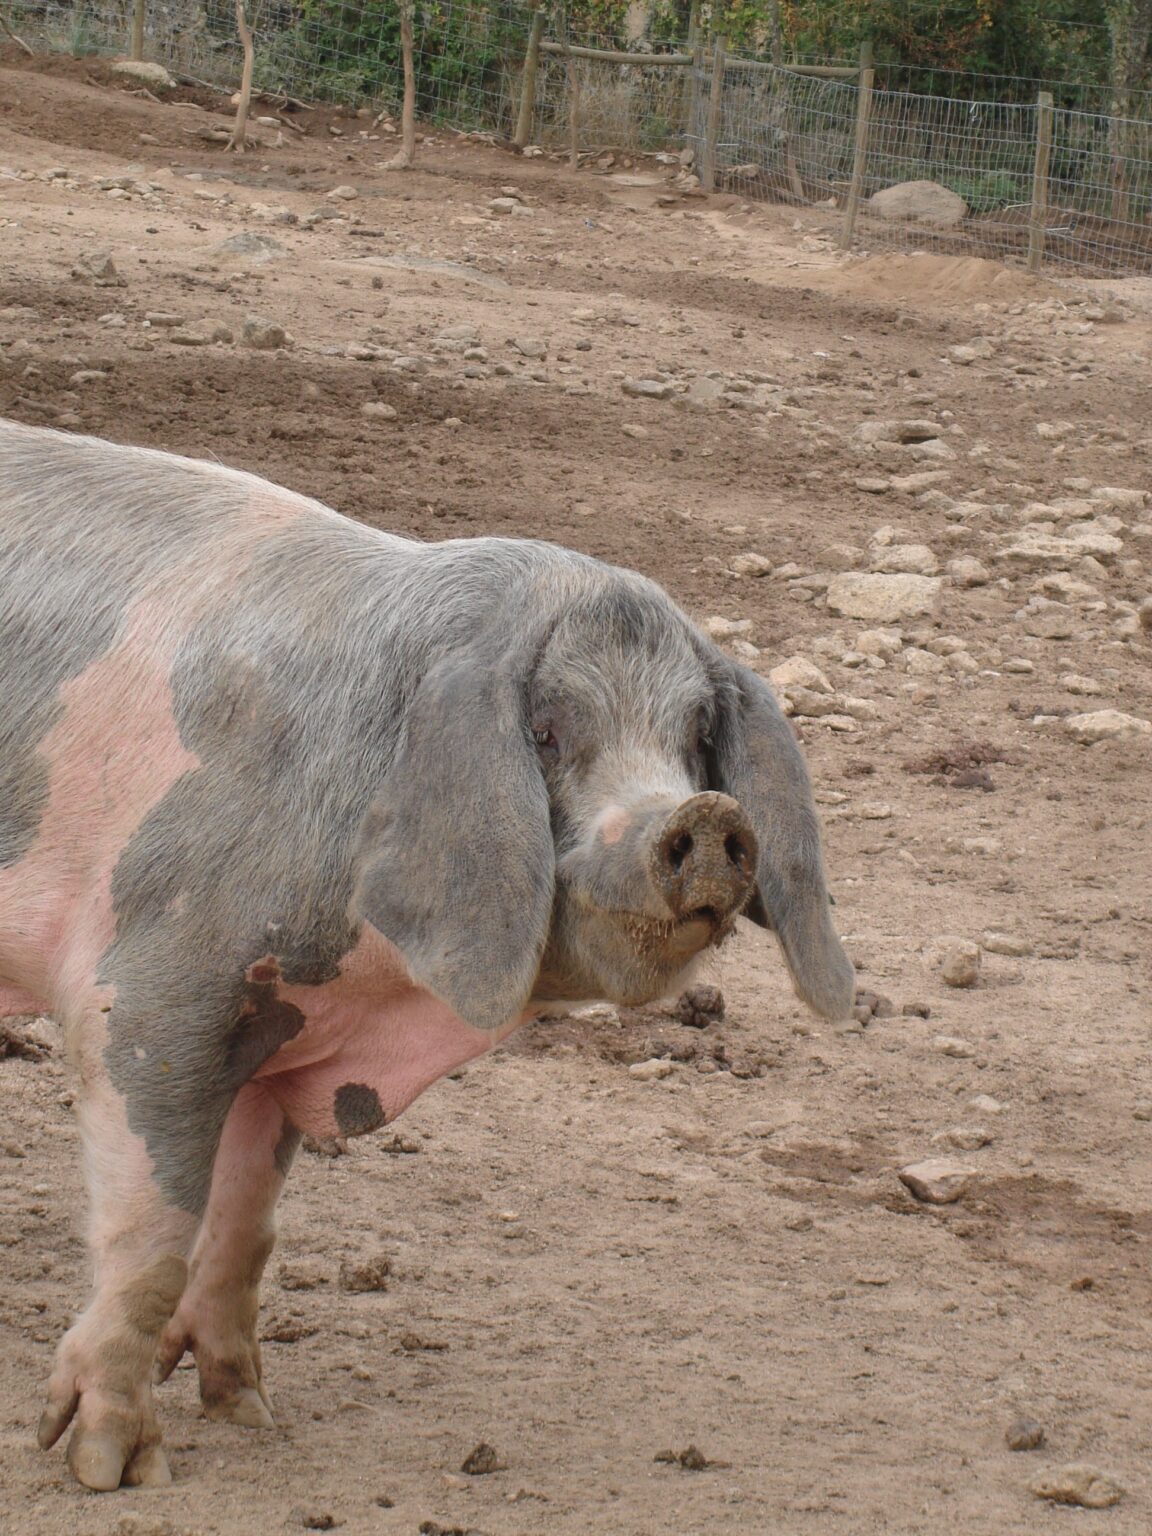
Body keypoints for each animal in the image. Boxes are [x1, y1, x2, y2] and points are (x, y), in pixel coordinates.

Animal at [0, 418, 854, 1490]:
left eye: (697, 733)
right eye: (545, 729)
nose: (703, 817)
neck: (377, 1002)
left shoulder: (280, 1028)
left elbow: (246, 1226)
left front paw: (252, 1416)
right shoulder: (149, 994)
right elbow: (154, 1234)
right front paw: (114, 1469)